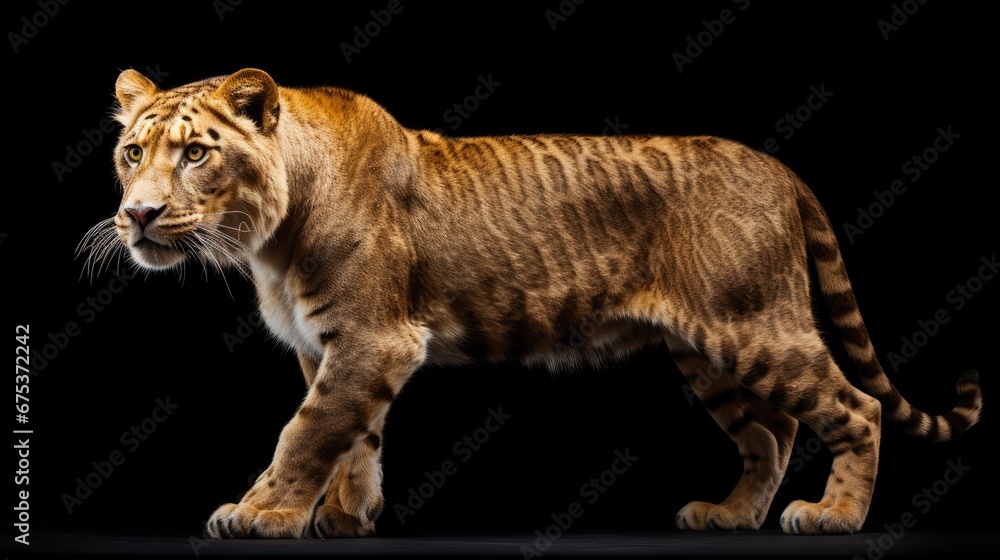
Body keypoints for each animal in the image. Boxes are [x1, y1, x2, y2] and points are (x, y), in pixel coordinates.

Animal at [78, 68, 982, 538]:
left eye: (196, 154)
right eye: (132, 154)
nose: (138, 215)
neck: (266, 238)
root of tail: (776, 164)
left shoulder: (373, 337)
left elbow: (304, 433)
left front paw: (261, 512)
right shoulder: (333, 345)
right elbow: (351, 435)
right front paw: (346, 516)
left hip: (757, 326)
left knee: (856, 406)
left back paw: (833, 516)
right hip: (708, 348)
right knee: (772, 430)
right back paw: (729, 514)